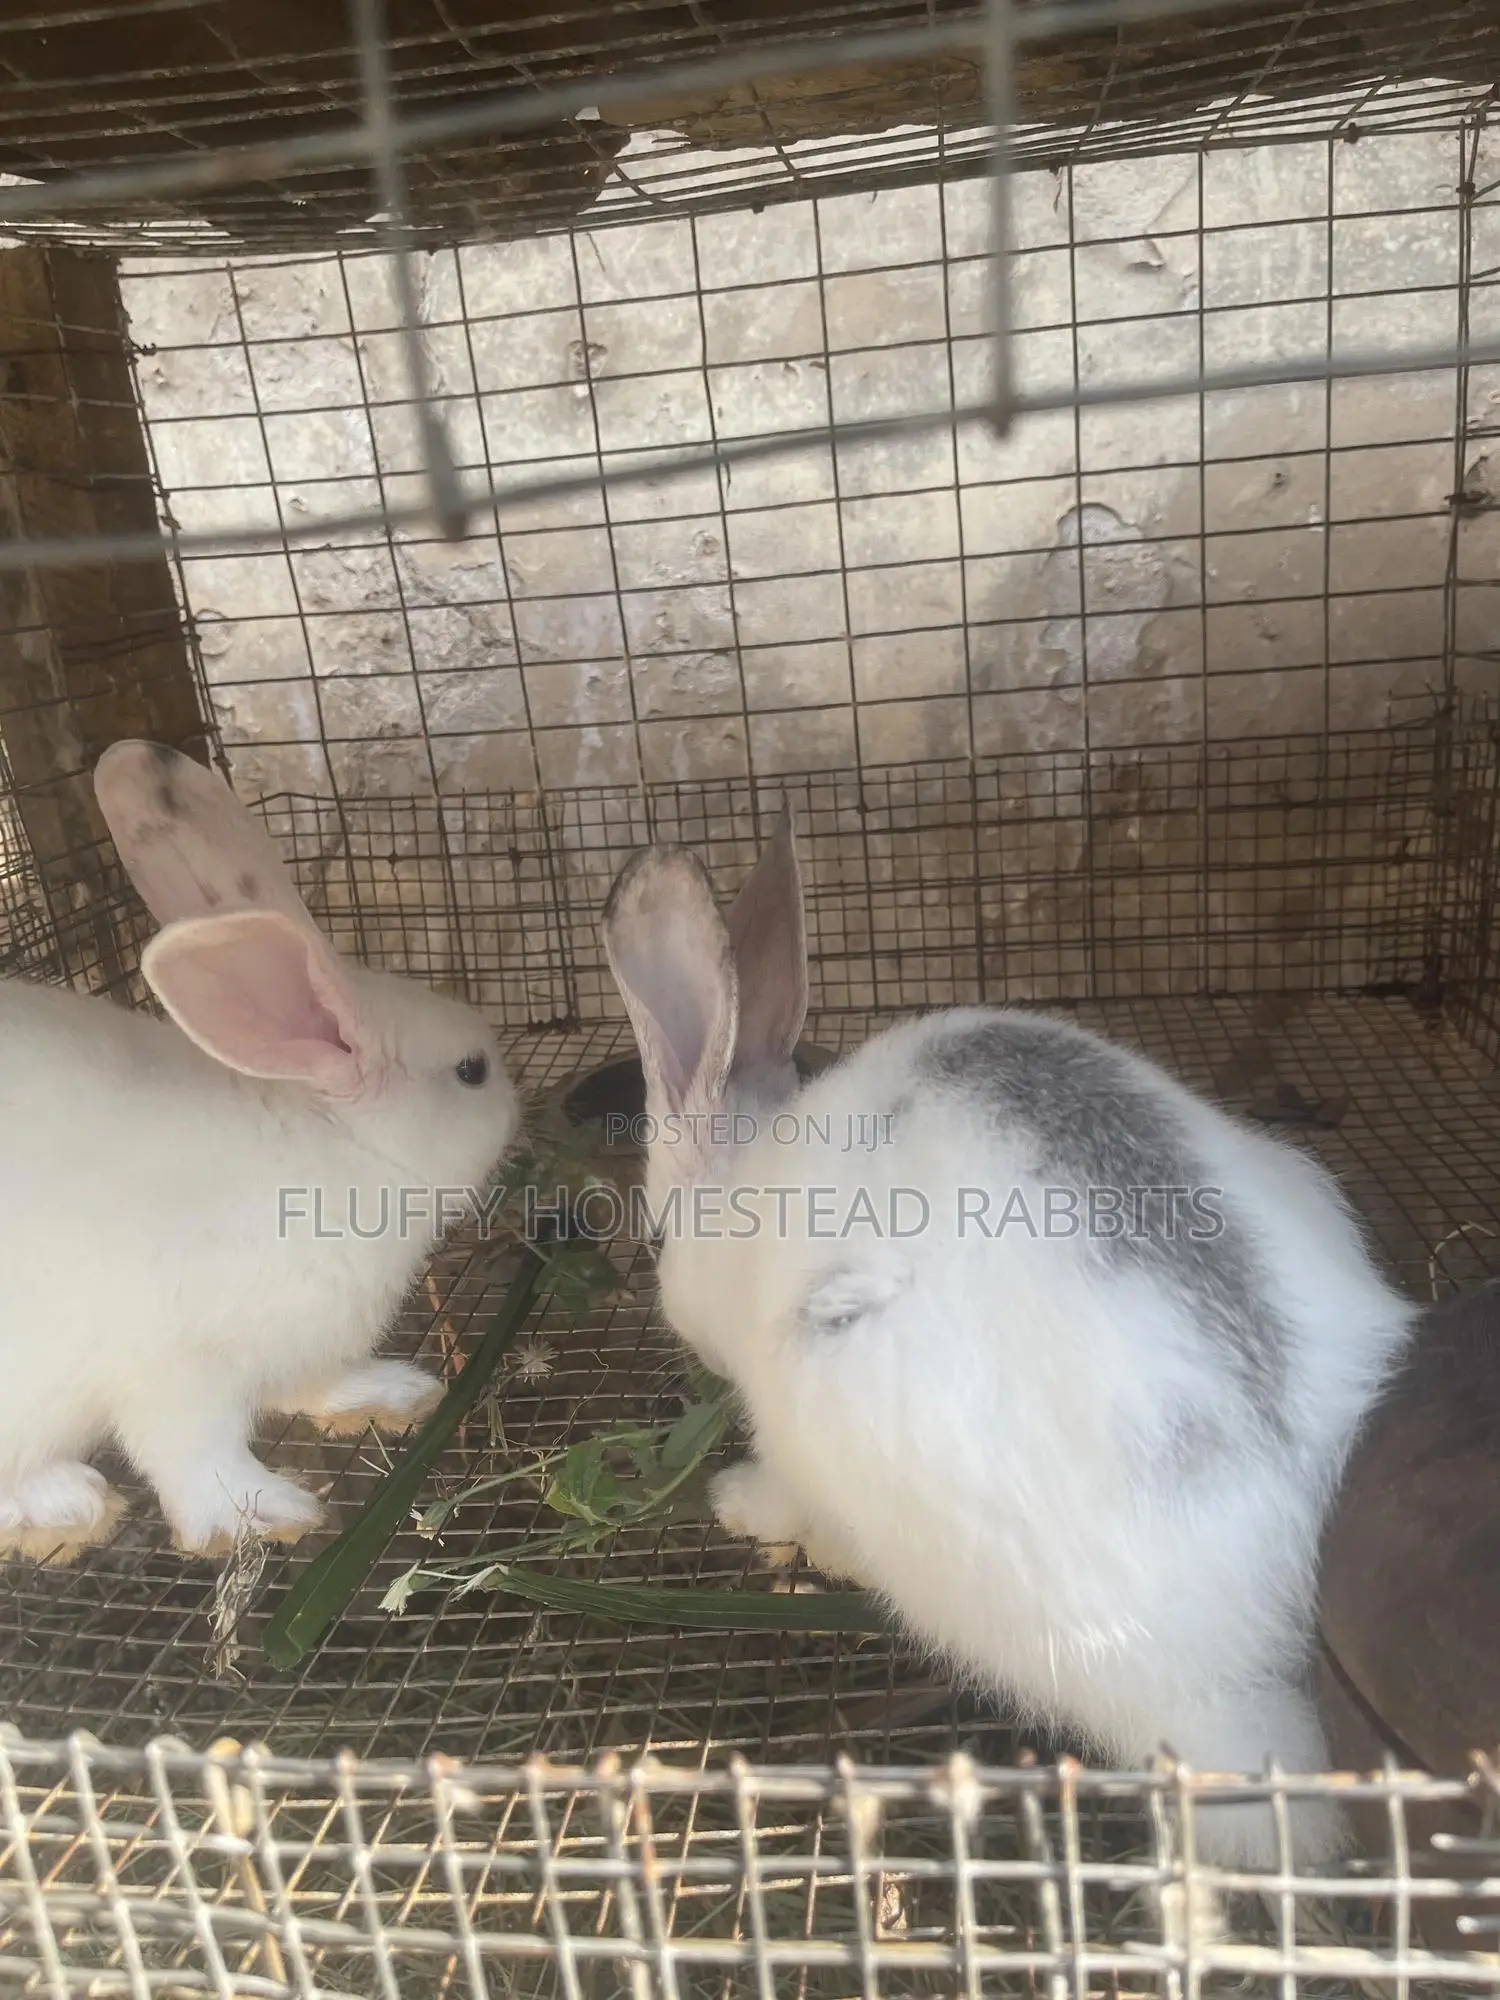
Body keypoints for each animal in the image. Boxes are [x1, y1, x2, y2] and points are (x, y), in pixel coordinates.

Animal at [0, 741, 519, 1560]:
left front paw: (393, 1392)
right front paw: (265, 1512)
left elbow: (312, 1383)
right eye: (472, 1071)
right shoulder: (174, 1369)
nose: (517, 1100)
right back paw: (65, 1499)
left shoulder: (298, 1345)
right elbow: (196, 1454)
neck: (339, 1146)